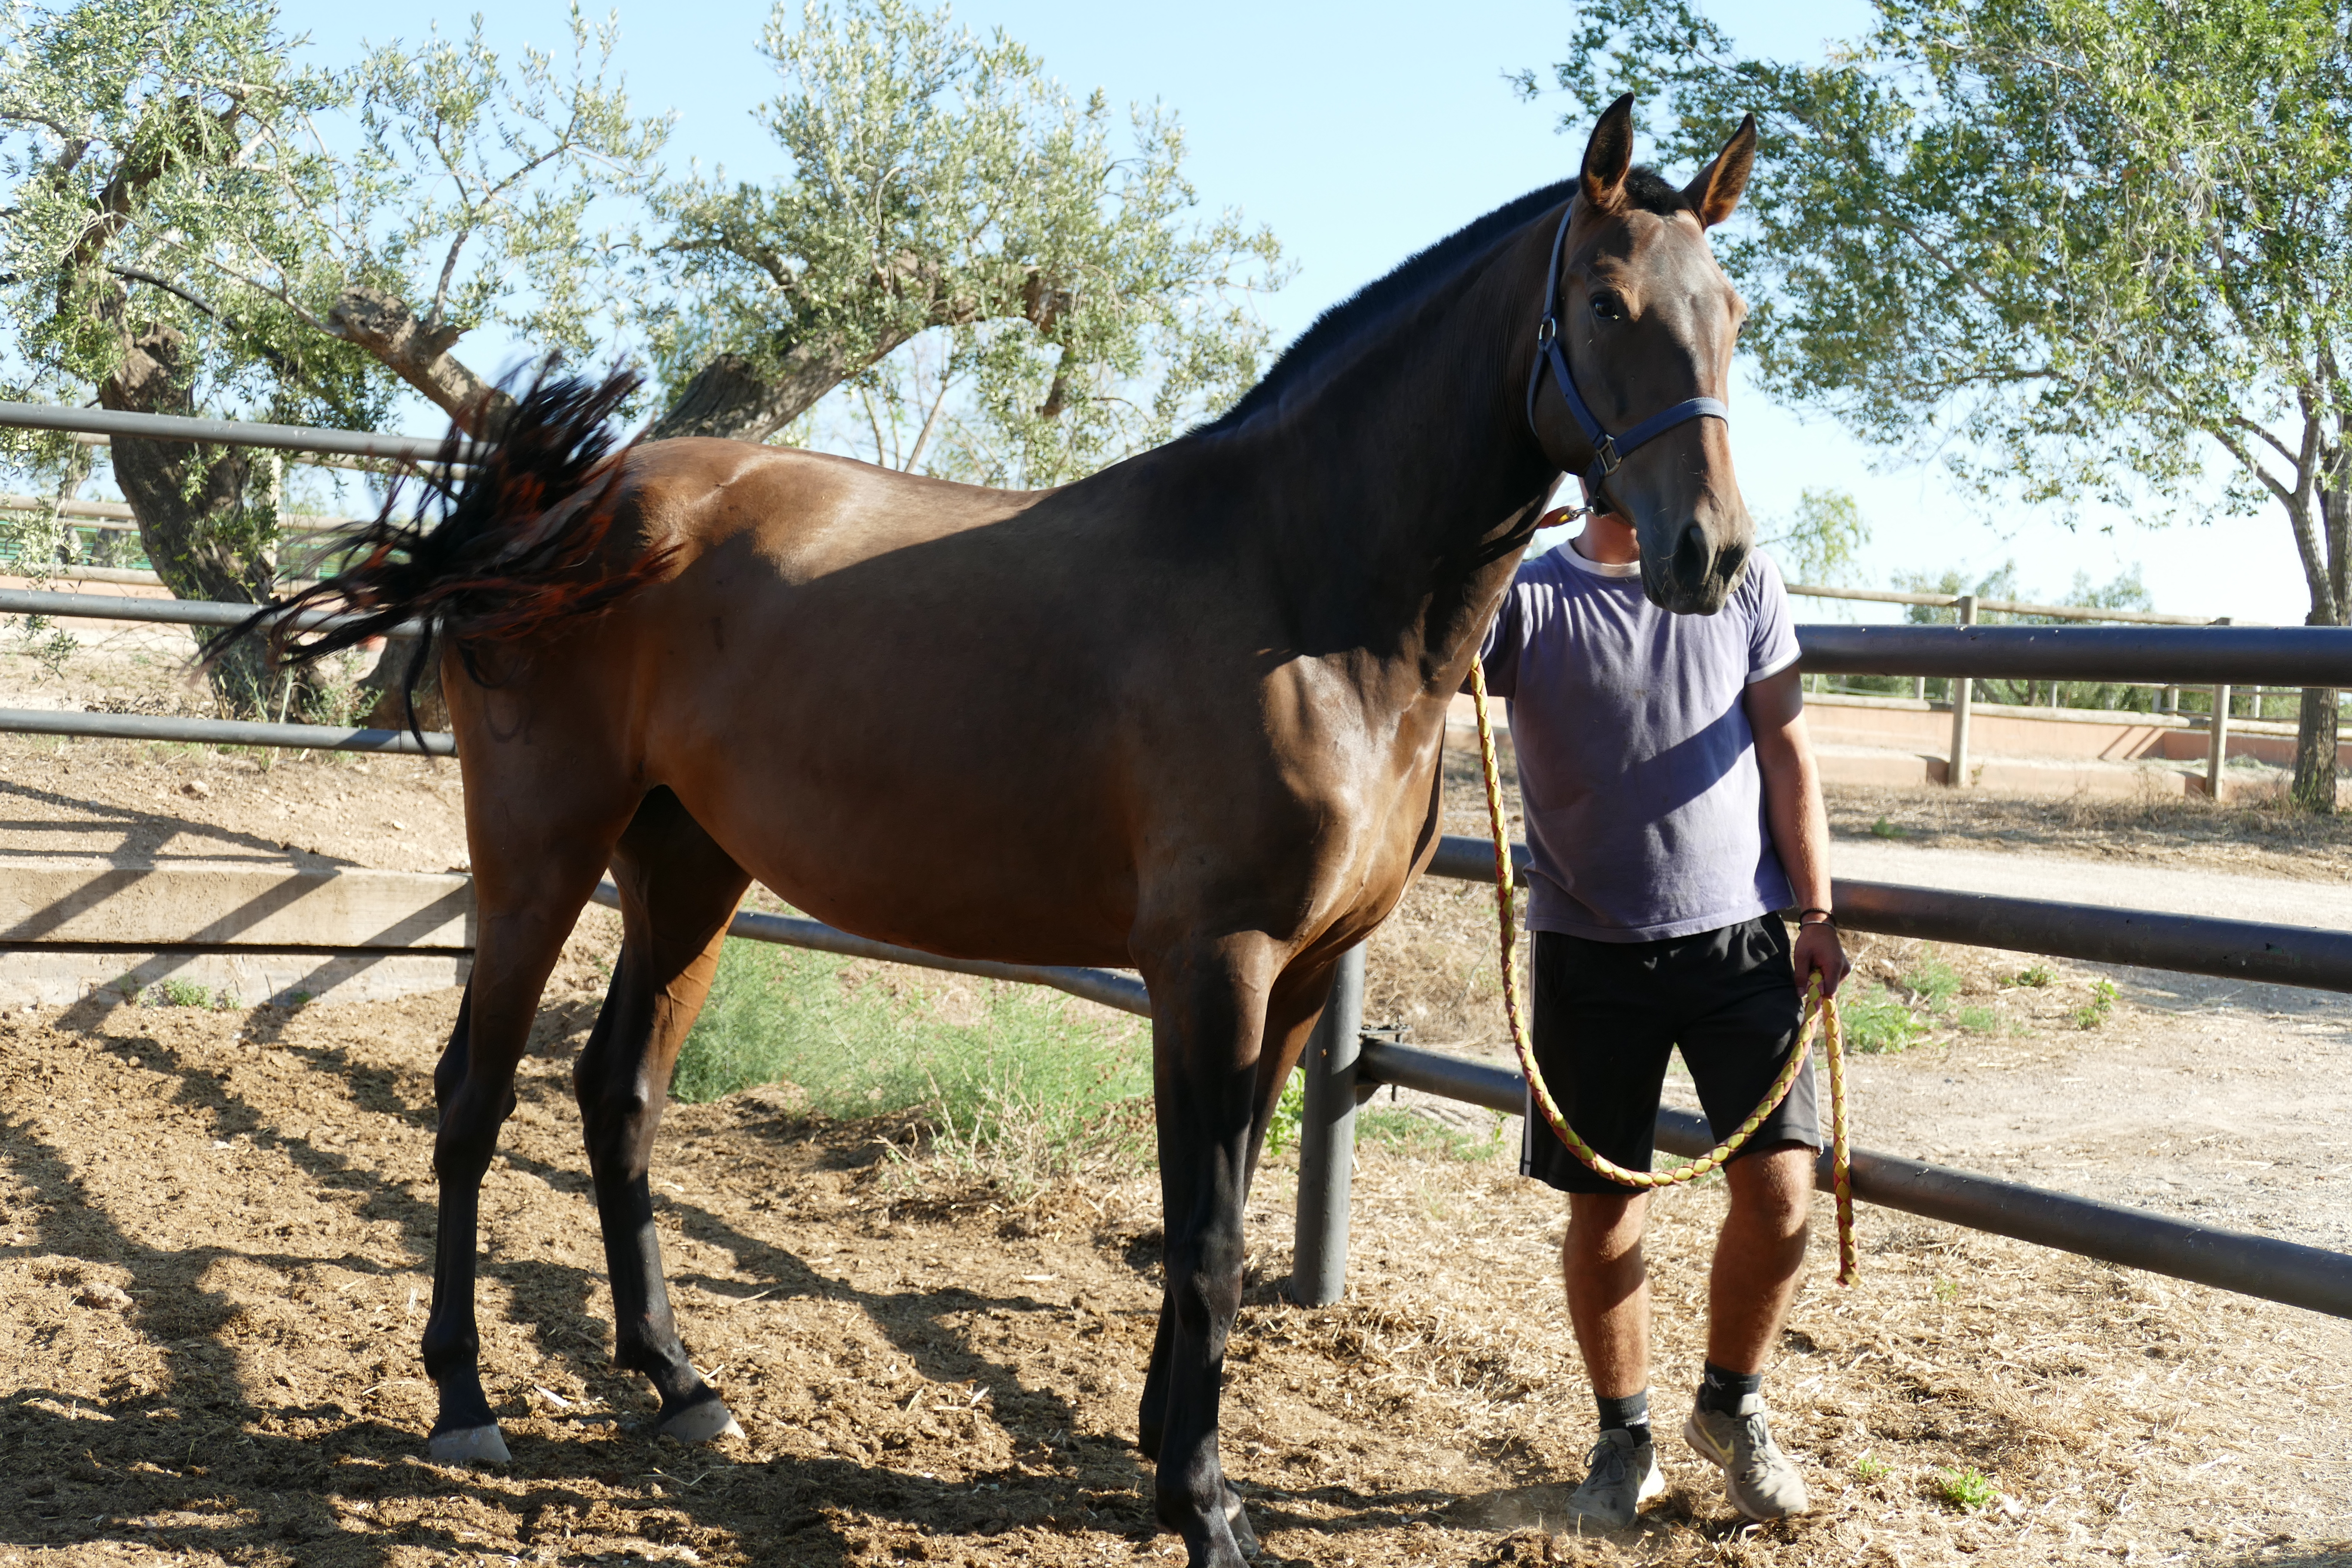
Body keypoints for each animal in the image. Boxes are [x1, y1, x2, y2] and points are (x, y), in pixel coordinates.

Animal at [249, 94, 1757, 1567]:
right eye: (1608, 304)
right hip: (539, 856)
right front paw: (1207, 1506)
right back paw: (463, 1401)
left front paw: (1166, 1456)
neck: (1304, 594)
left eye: (1732, 309)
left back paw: (680, 1384)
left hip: (687, 871)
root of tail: (560, 513)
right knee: (472, 1098)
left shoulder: (1299, 979)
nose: (1713, 555)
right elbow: (1206, 1235)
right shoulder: (1214, 966)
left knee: (618, 1094)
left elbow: (1220, 1207)